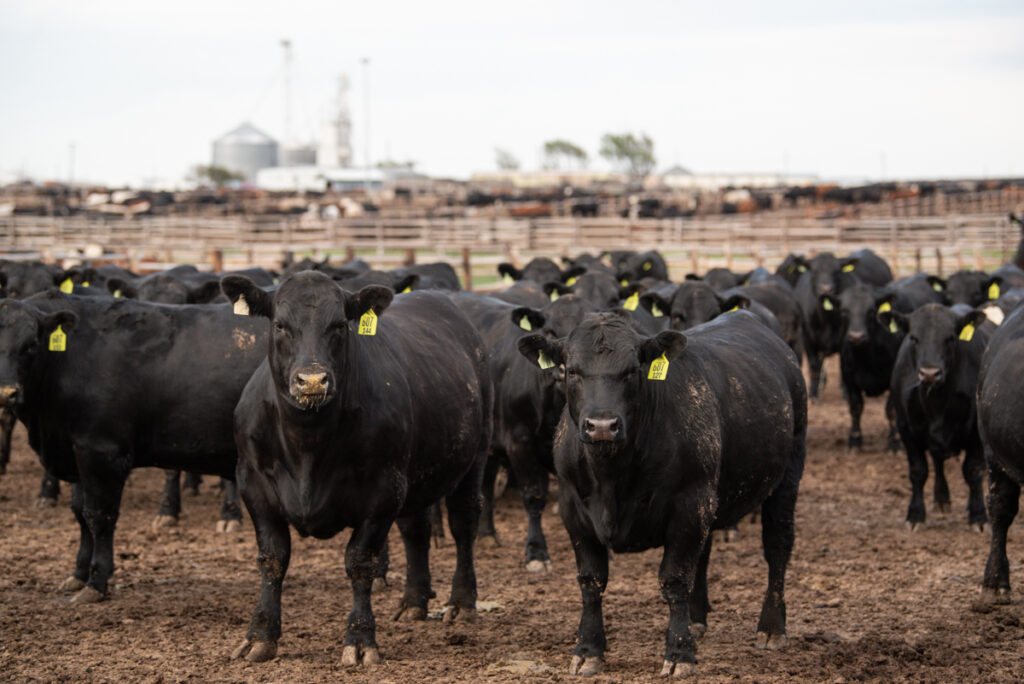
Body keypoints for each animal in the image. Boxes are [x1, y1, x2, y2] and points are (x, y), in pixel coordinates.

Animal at [0, 293, 268, 602]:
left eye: (30, 344)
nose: (6, 393)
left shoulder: (102, 452)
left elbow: (99, 516)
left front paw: (96, 582)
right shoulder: (78, 450)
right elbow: (80, 513)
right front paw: (78, 575)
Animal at [222, 273, 492, 664]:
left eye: (339, 325)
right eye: (279, 325)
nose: (312, 380)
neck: (307, 442)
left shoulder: (383, 490)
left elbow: (360, 562)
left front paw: (361, 640)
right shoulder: (254, 485)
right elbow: (273, 559)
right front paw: (259, 636)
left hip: (474, 457)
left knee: (463, 523)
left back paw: (461, 602)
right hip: (416, 475)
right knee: (416, 530)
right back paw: (414, 601)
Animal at [516, 311, 806, 676]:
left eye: (632, 371)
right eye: (571, 370)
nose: (601, 426)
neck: (612, 477)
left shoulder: (689, 505)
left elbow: (675, 579)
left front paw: (679, 653)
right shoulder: (573, 510)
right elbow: (591, 581)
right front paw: (587, 649)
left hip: (787, 474)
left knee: (778, 545)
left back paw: (771, 627)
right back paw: (697, 619)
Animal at [880, 304, 990, 531]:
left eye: (950, 338)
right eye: (913, 337)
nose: (930, 373)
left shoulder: (976, 433)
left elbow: (973, 472)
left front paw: (978, 516)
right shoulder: (906, 429)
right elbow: (918, 470)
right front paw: (915, 514)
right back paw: (941, 498)